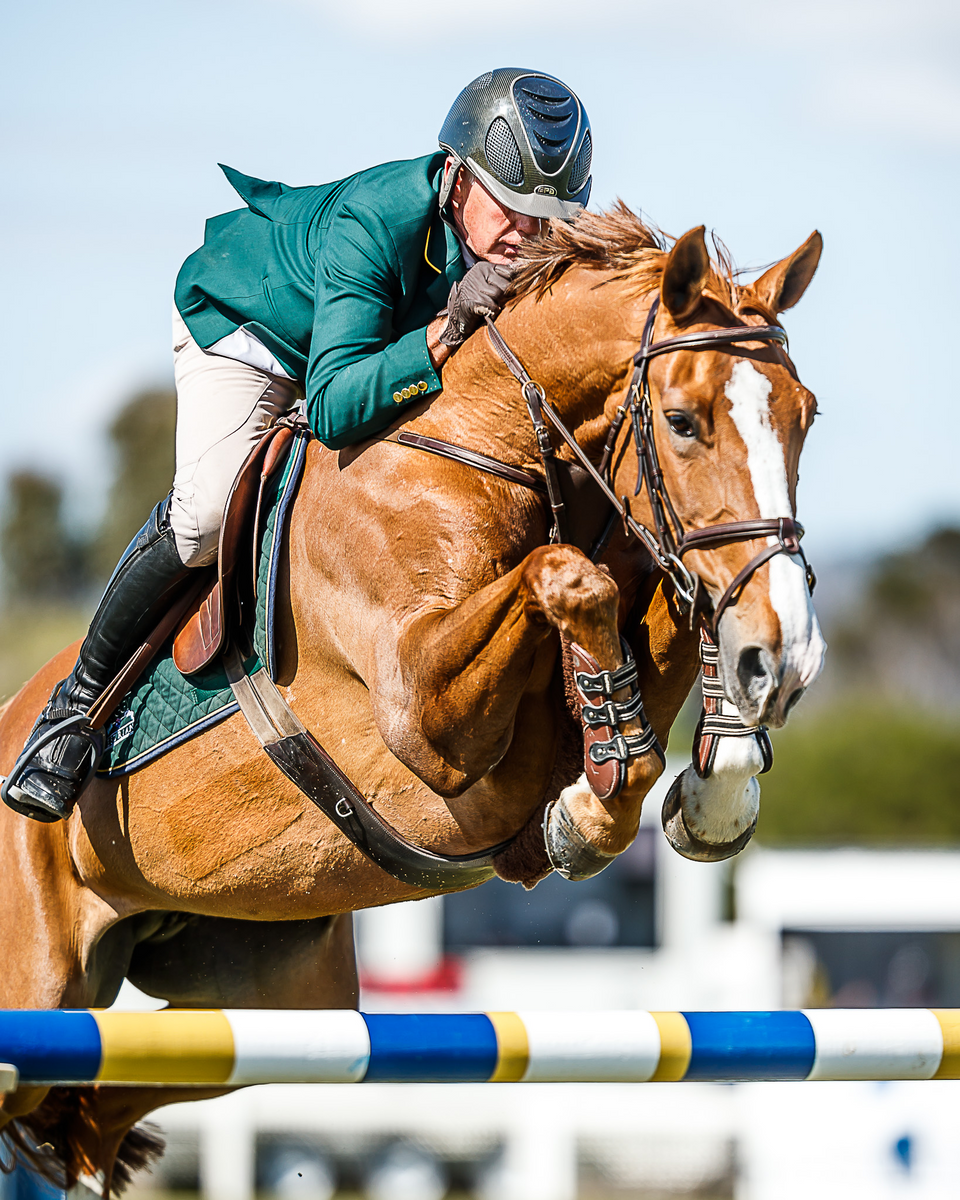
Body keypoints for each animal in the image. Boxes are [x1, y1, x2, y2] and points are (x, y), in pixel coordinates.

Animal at [0, 206, 825, 1191]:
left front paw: (699, 785)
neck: (487, 442)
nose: (787, 658)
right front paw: (599, 802)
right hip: (38, 969)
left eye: (806, 417)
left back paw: (74, 1133)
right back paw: (52, 756)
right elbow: (570, 577)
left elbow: (643, 618)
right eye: (682, 421)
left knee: (108, 1086)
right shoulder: (426, 720)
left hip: (283, 999)